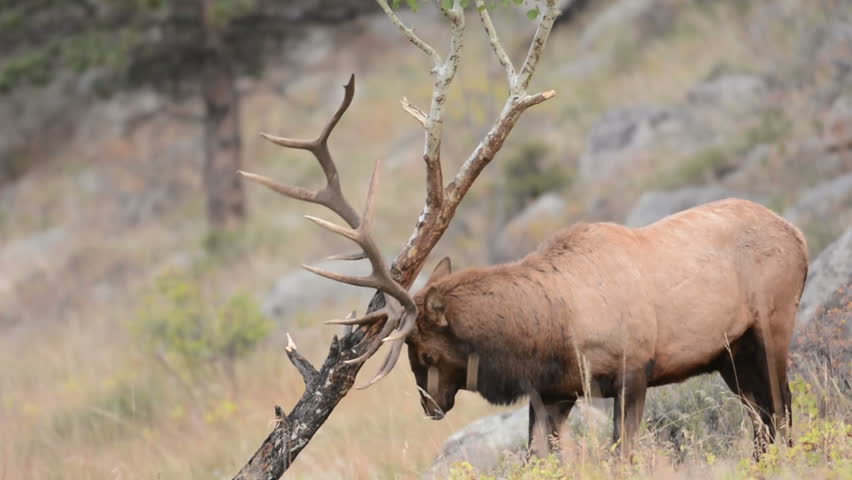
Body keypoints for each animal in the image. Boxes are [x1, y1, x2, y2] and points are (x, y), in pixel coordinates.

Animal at [231, 1, 804, 478]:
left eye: (426, 351)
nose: (429, 407)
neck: (549, 330)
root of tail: (797, 234)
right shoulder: (552, 392)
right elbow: (537, 458)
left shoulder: (633, 370)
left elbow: (623, 455)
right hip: (729, 355)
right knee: (763, 423)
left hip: (772, 324)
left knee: (782, 412)